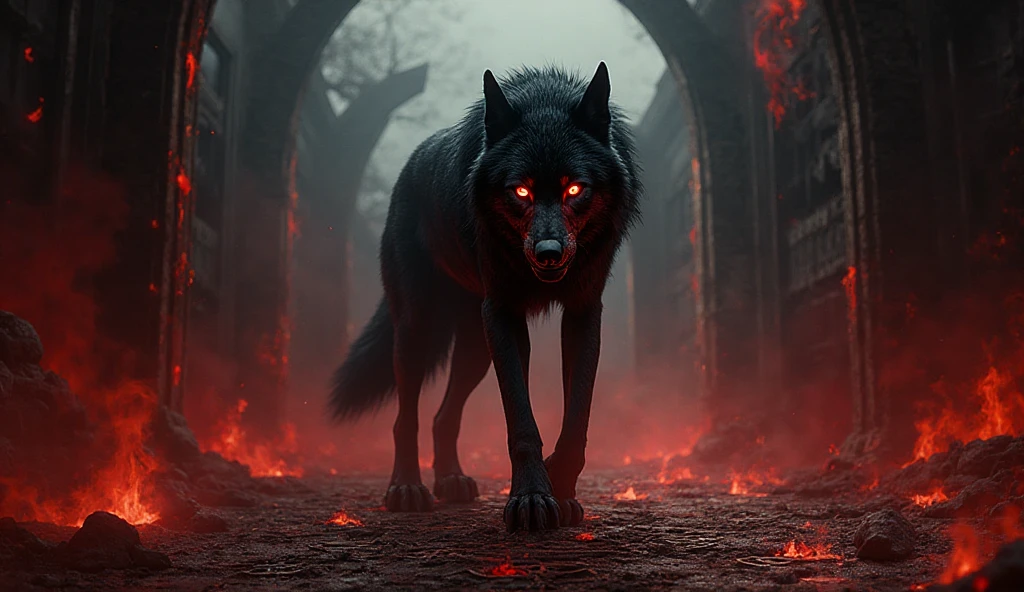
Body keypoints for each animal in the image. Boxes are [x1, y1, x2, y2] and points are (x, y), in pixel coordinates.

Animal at [329, 63, 641, 532]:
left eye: (574, 189)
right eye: (521, 191)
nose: (548, 253)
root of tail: (411, 165)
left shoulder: (583, 313)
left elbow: (577, 419)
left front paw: (562, 491)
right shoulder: (506, 316)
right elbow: (521, 421)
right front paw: (531, 498)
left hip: (475, 346)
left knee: (443, 417)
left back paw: (451, 480)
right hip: (418, 330)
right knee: (407, 418)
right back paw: (407, 489)